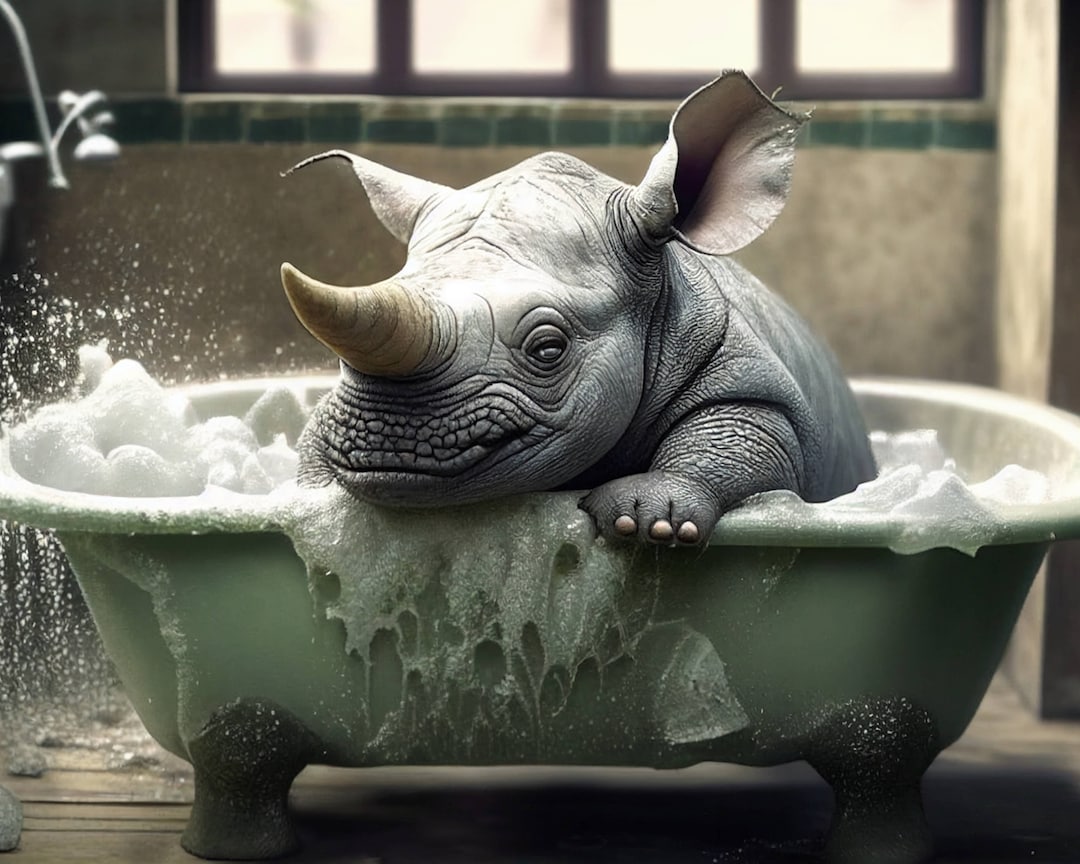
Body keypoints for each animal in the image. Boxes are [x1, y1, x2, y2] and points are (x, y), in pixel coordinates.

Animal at [280, 71, 876, 545]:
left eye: (548, 349)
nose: (376, 446)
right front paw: (315, 499)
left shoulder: (740, 366)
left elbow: (746, 428)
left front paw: (648, 521)